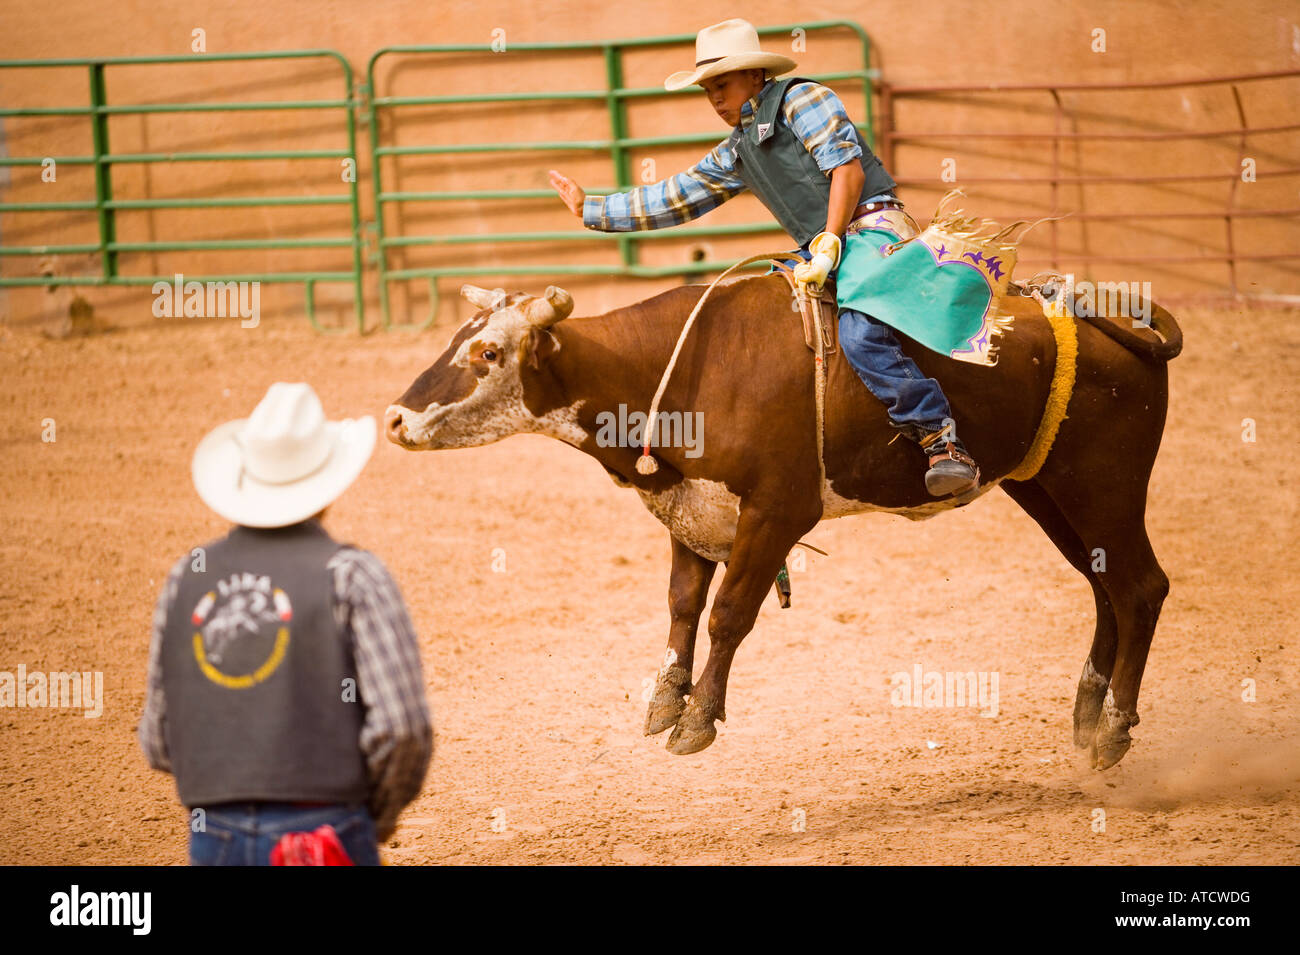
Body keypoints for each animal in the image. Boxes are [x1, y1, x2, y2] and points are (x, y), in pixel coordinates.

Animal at [385, 275, 1182, 770]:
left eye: (488, 352)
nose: (395, 418)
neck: (679, 369)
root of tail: (1109, 321)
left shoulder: (776, 512)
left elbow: (729, 613)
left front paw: (698, 719)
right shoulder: (691, 508)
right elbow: (683, 603)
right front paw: (665, 697)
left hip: (1103, 487)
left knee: (1141, 589)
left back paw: (1114, 728)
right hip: (1047, 489)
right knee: (1104, 589)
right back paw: (1088, 710)